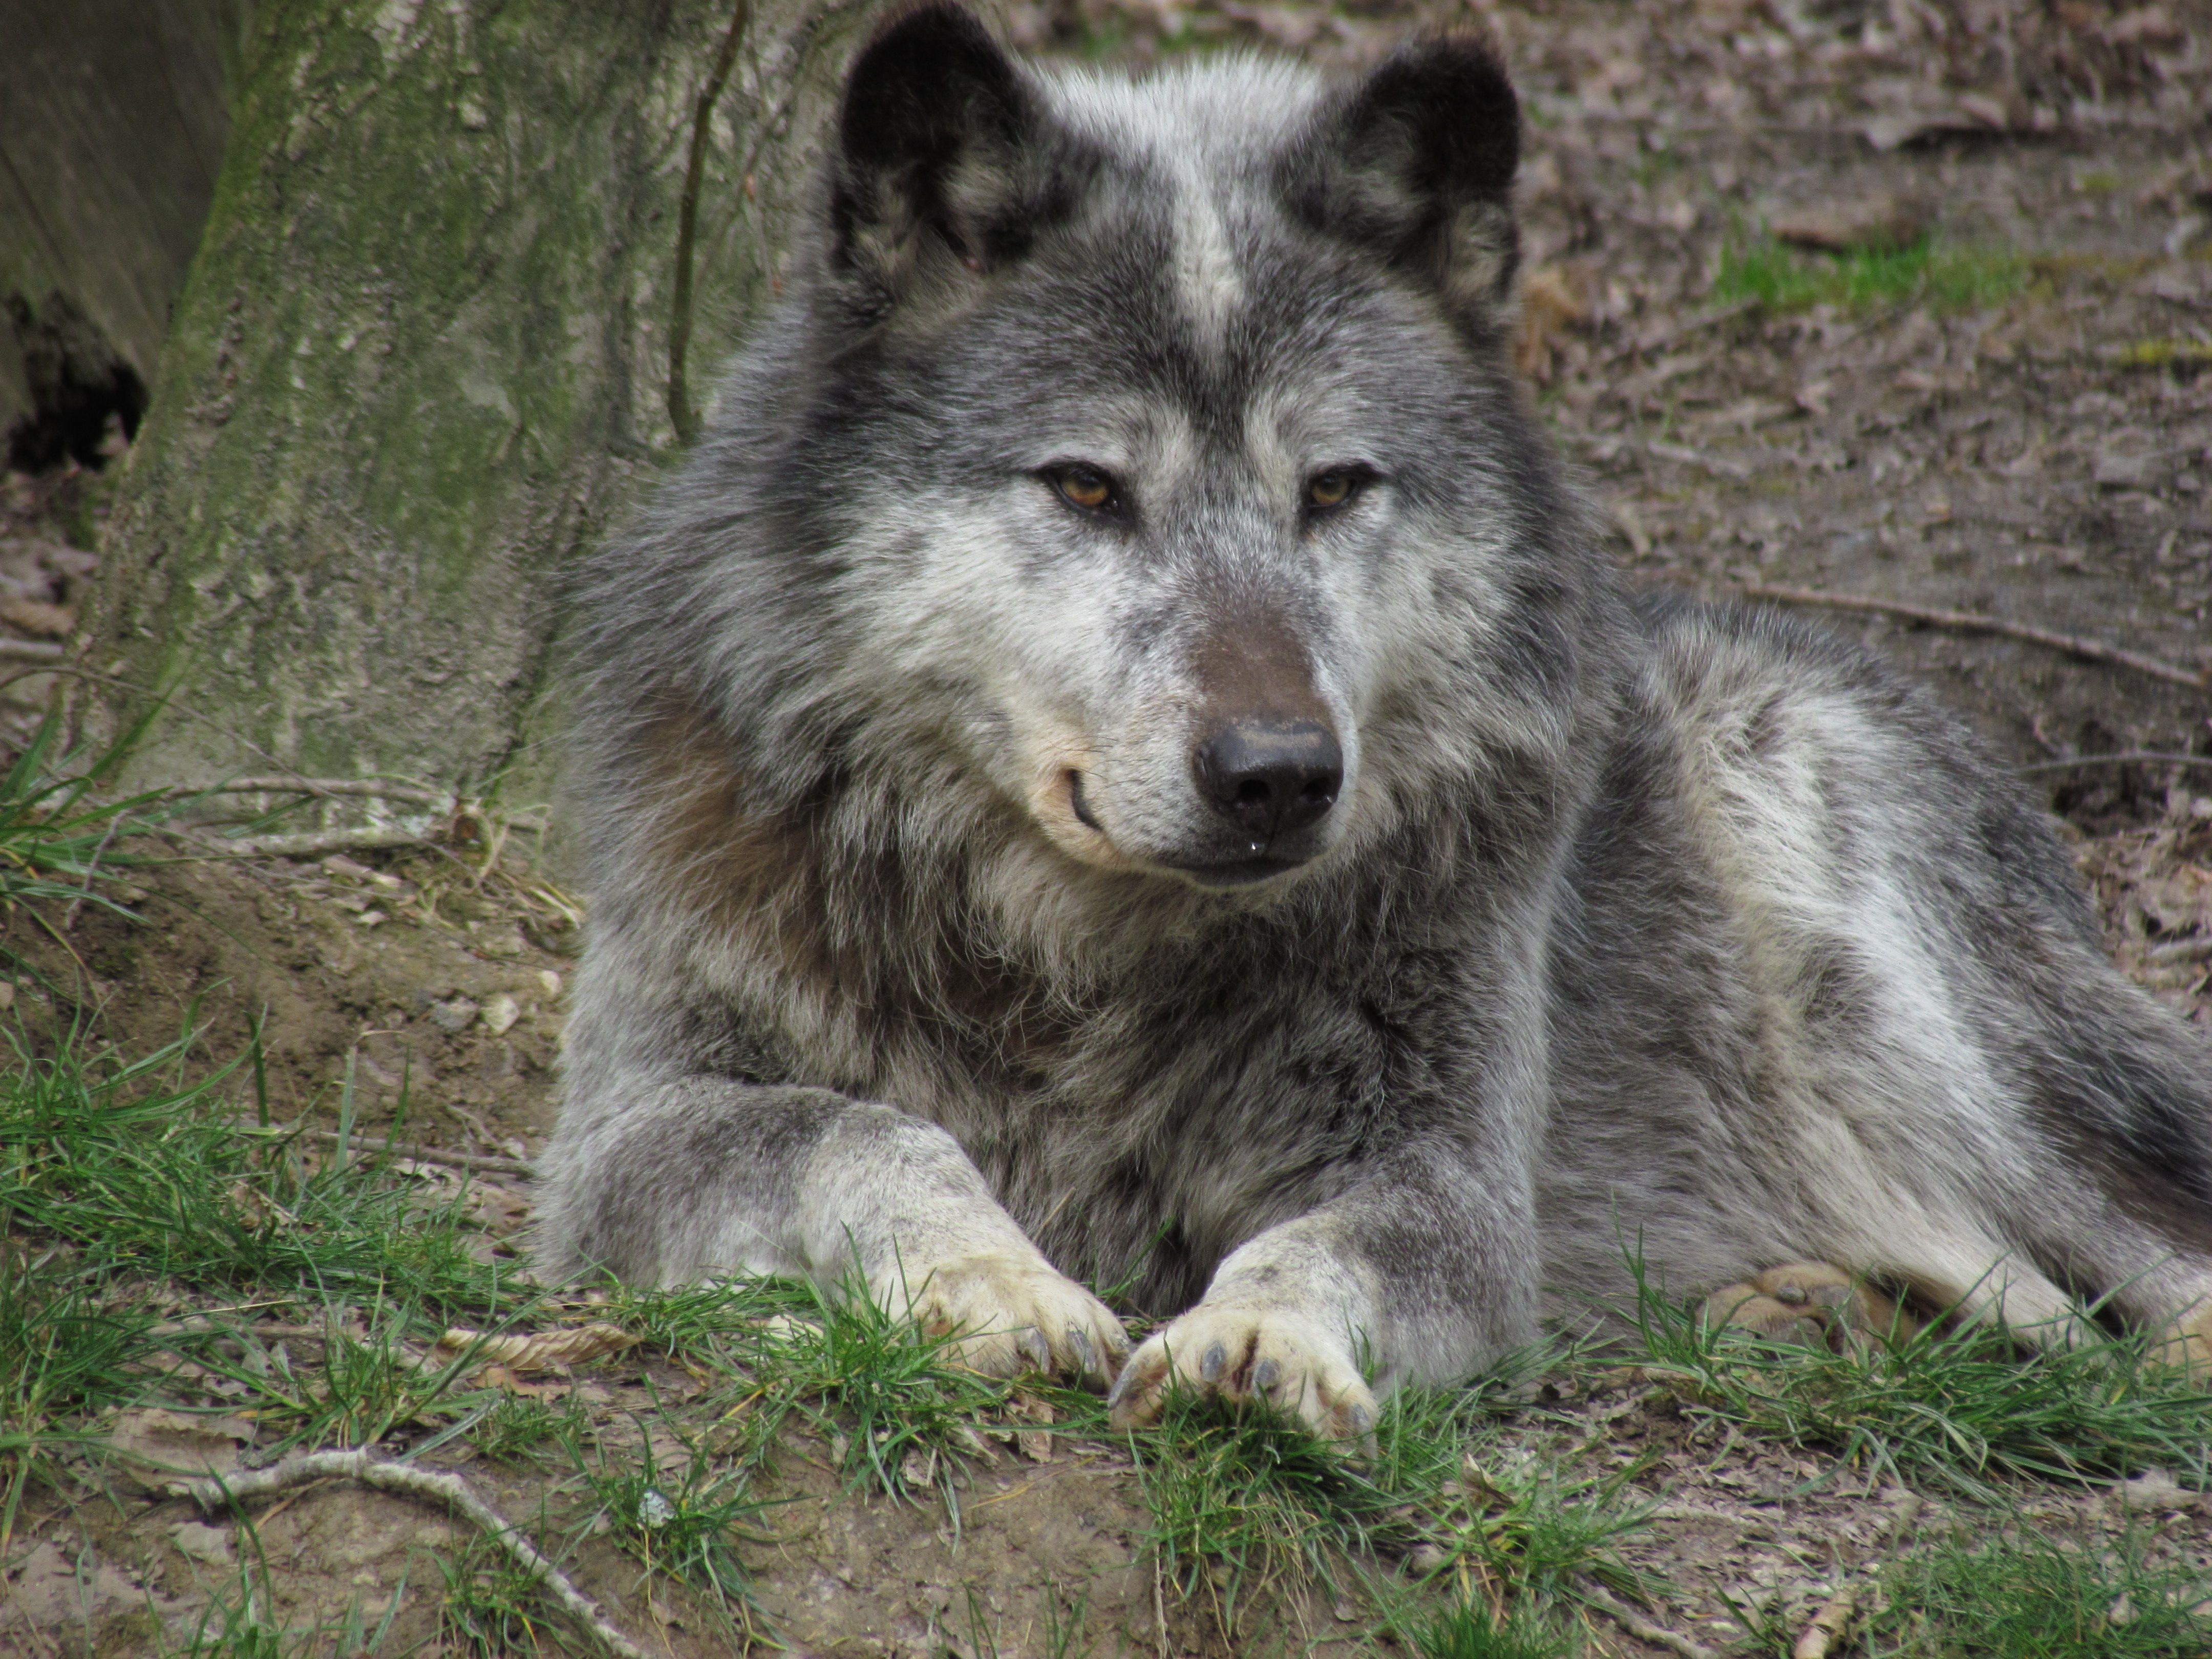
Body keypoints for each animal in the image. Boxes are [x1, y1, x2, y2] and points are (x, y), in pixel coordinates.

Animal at [536, 4, 2212, 1439]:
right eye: (1086, 487)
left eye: (1334, 487)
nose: (1279, 775)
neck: (1077, 964)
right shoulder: (620, 1136)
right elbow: (866, 1130)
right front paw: (991, 1277)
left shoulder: (1448, 1188)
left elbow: (1323, 1246)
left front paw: (1256, 1336)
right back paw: (1800, 1312)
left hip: (1894, 987)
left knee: (2128, 1265)